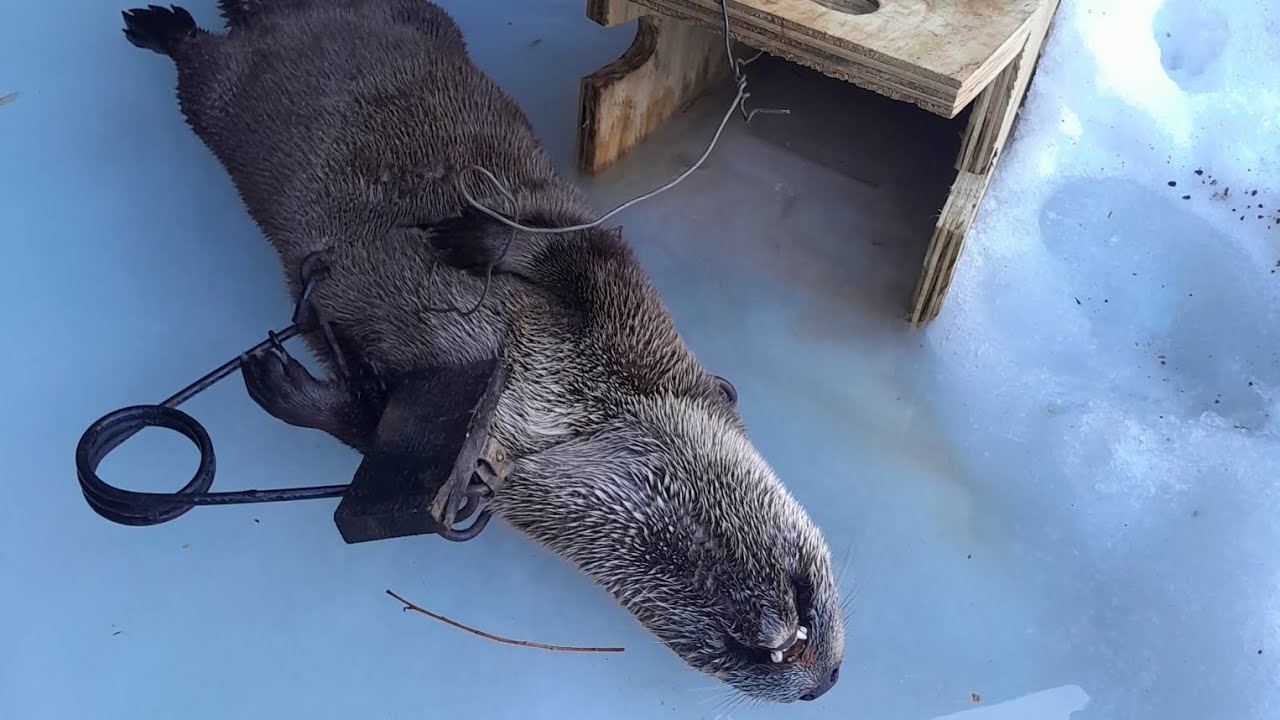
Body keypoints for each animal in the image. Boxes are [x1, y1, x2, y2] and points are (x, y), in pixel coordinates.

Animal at [120, 0, 845, 703]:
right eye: (812, 598)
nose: (827, 683)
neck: (582, 419)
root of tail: (271, 19)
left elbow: (369, 418)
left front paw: (288, 386)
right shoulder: (622, 299)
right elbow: (569, 248)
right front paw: (476, 237)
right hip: (228, 93)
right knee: (200, 59)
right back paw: (158, 25)